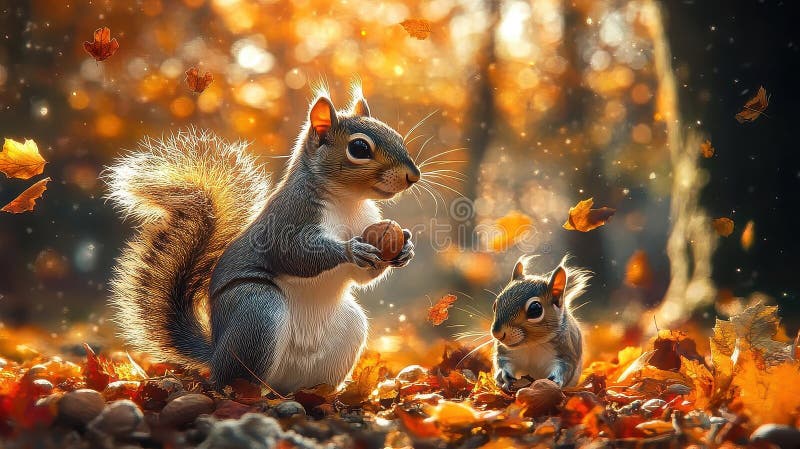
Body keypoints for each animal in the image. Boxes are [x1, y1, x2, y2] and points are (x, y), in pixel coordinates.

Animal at [105, 89, 421, 395]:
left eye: (396, 136)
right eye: (359, 148)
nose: (413, 176)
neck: (349, 202)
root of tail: (215, 354)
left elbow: (361, 277)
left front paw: (405, 249)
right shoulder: (285, 221)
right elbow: (293, 253)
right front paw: (350, 249)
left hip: (346, 330)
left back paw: (324, 395)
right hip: (258, 312)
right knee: (233, 381)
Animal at [491, 256, 589, 390]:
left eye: (535, 309)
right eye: (495, 305)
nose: (497, 334)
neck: (532, 345)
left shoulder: (566, 353)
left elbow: (565, 368)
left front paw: (555, 381)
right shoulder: (506, 352)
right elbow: (502, 361)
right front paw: (503, 375)